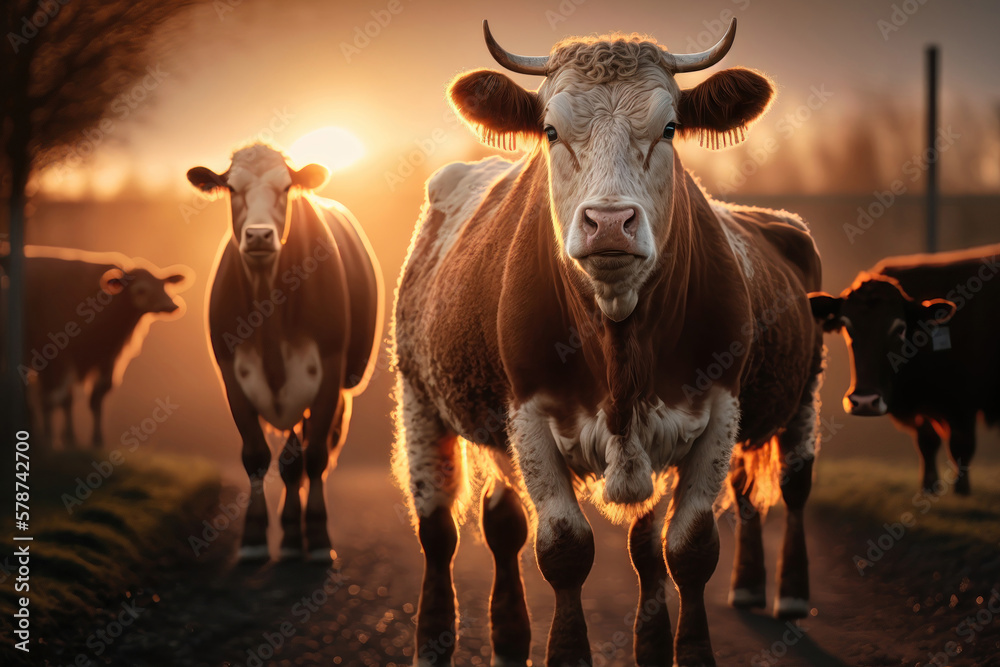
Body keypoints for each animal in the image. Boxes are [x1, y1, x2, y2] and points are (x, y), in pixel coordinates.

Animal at [8, 246, 190, 450]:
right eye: (141, 289)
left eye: (163, 286)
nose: (171, 305)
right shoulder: (56, 355)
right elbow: (60, 398)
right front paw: (60, 437)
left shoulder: (108, 358)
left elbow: (96, 398)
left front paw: (96, 440)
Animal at [187, 144, 383, 562]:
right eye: (232, 189)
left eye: (286, 188)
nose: (259, 234)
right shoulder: (233, 377)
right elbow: (256, 456)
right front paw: (254, 536)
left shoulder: (328, 373)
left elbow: (316, 456)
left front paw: (319, 538)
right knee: (290, 458)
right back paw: (291, 532)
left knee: (307, 455)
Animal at [392, 19, 824, 667]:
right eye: (550, 131)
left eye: (669, 128)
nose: (610, 223)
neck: (620, 343)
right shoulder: (526, 415)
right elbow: (564, 549)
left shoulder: (721, 407)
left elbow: (687, 548)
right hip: (419, 397)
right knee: (443, 530)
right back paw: (443, 640)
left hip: (805, 395)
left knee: (788, 488)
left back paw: (783, 594)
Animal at [809, 244, 1000, 496]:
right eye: (847, 326)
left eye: (899, 328)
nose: (865, 401)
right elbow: (927, 443)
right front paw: (928, 485)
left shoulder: (964, 402)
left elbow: (961, 447)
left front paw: (962, 491)